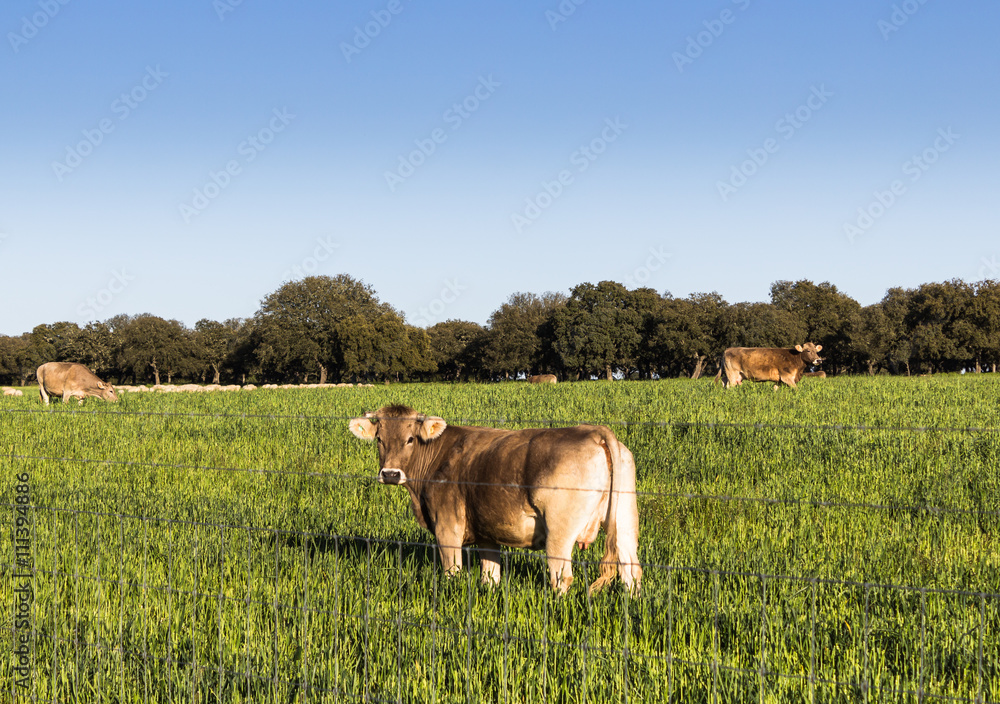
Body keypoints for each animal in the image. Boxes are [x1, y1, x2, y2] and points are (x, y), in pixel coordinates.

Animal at [348, 405, 641, 596]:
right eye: (379, 439)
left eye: (410, 439)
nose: (390, 474)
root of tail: (593, 432)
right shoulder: (487, 534)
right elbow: (490, 577)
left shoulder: (447, 528)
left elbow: (452, 571)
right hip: (625, 524)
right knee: (632, 572)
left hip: (559, 532)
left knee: (562, 578)